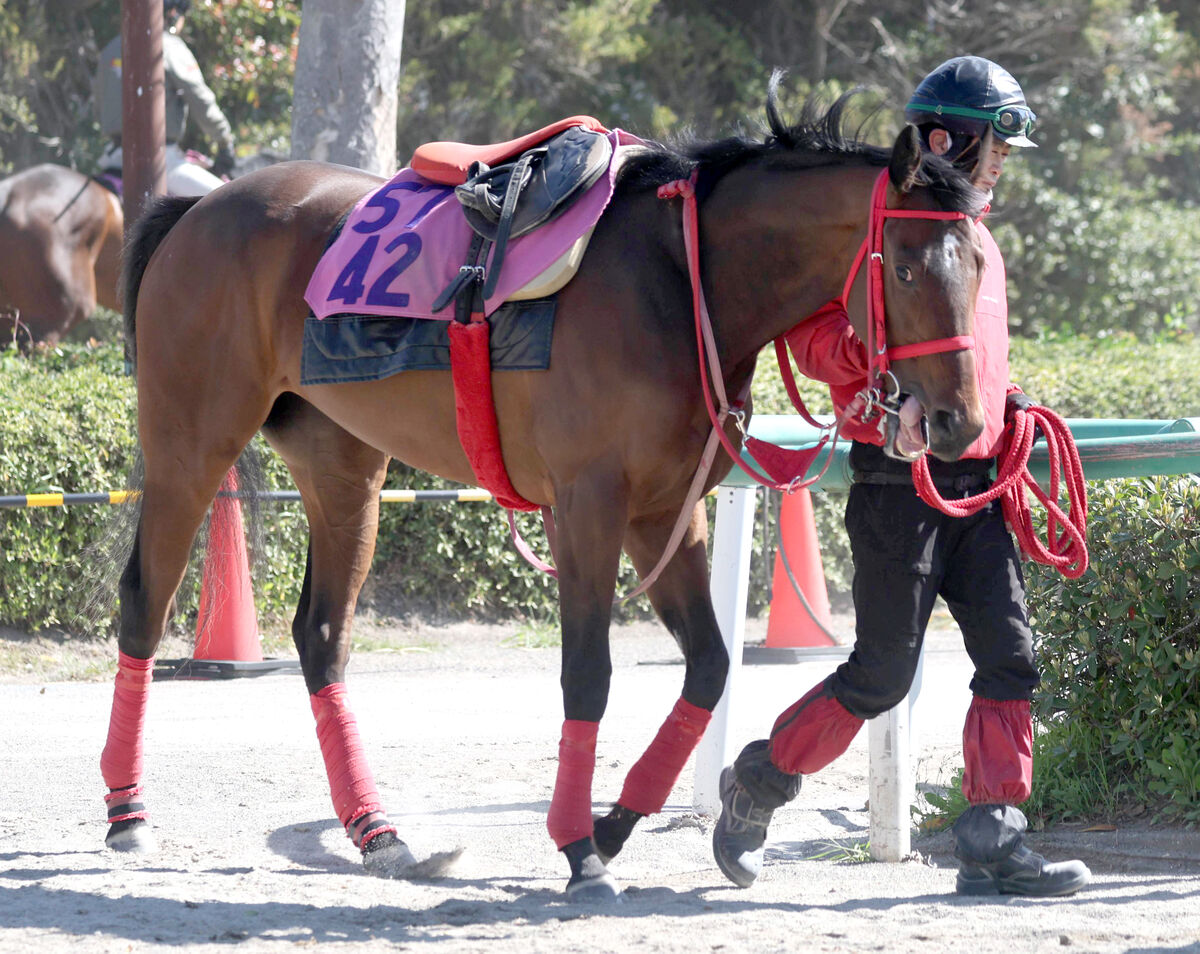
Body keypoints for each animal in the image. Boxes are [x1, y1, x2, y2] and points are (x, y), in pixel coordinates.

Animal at [101, 84, 988, 901]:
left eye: (979, 264)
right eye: (907, 267)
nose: (958, 422)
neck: (679, 281)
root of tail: (196, 207)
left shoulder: (666, 511)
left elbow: (709, 665)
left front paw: (617, 821)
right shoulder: (588, 505)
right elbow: (588, 674)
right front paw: (579, 848)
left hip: (342, 463)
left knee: (322, 635)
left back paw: (378, 833)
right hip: (190, 447)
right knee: (145, 600)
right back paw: (127, 810)